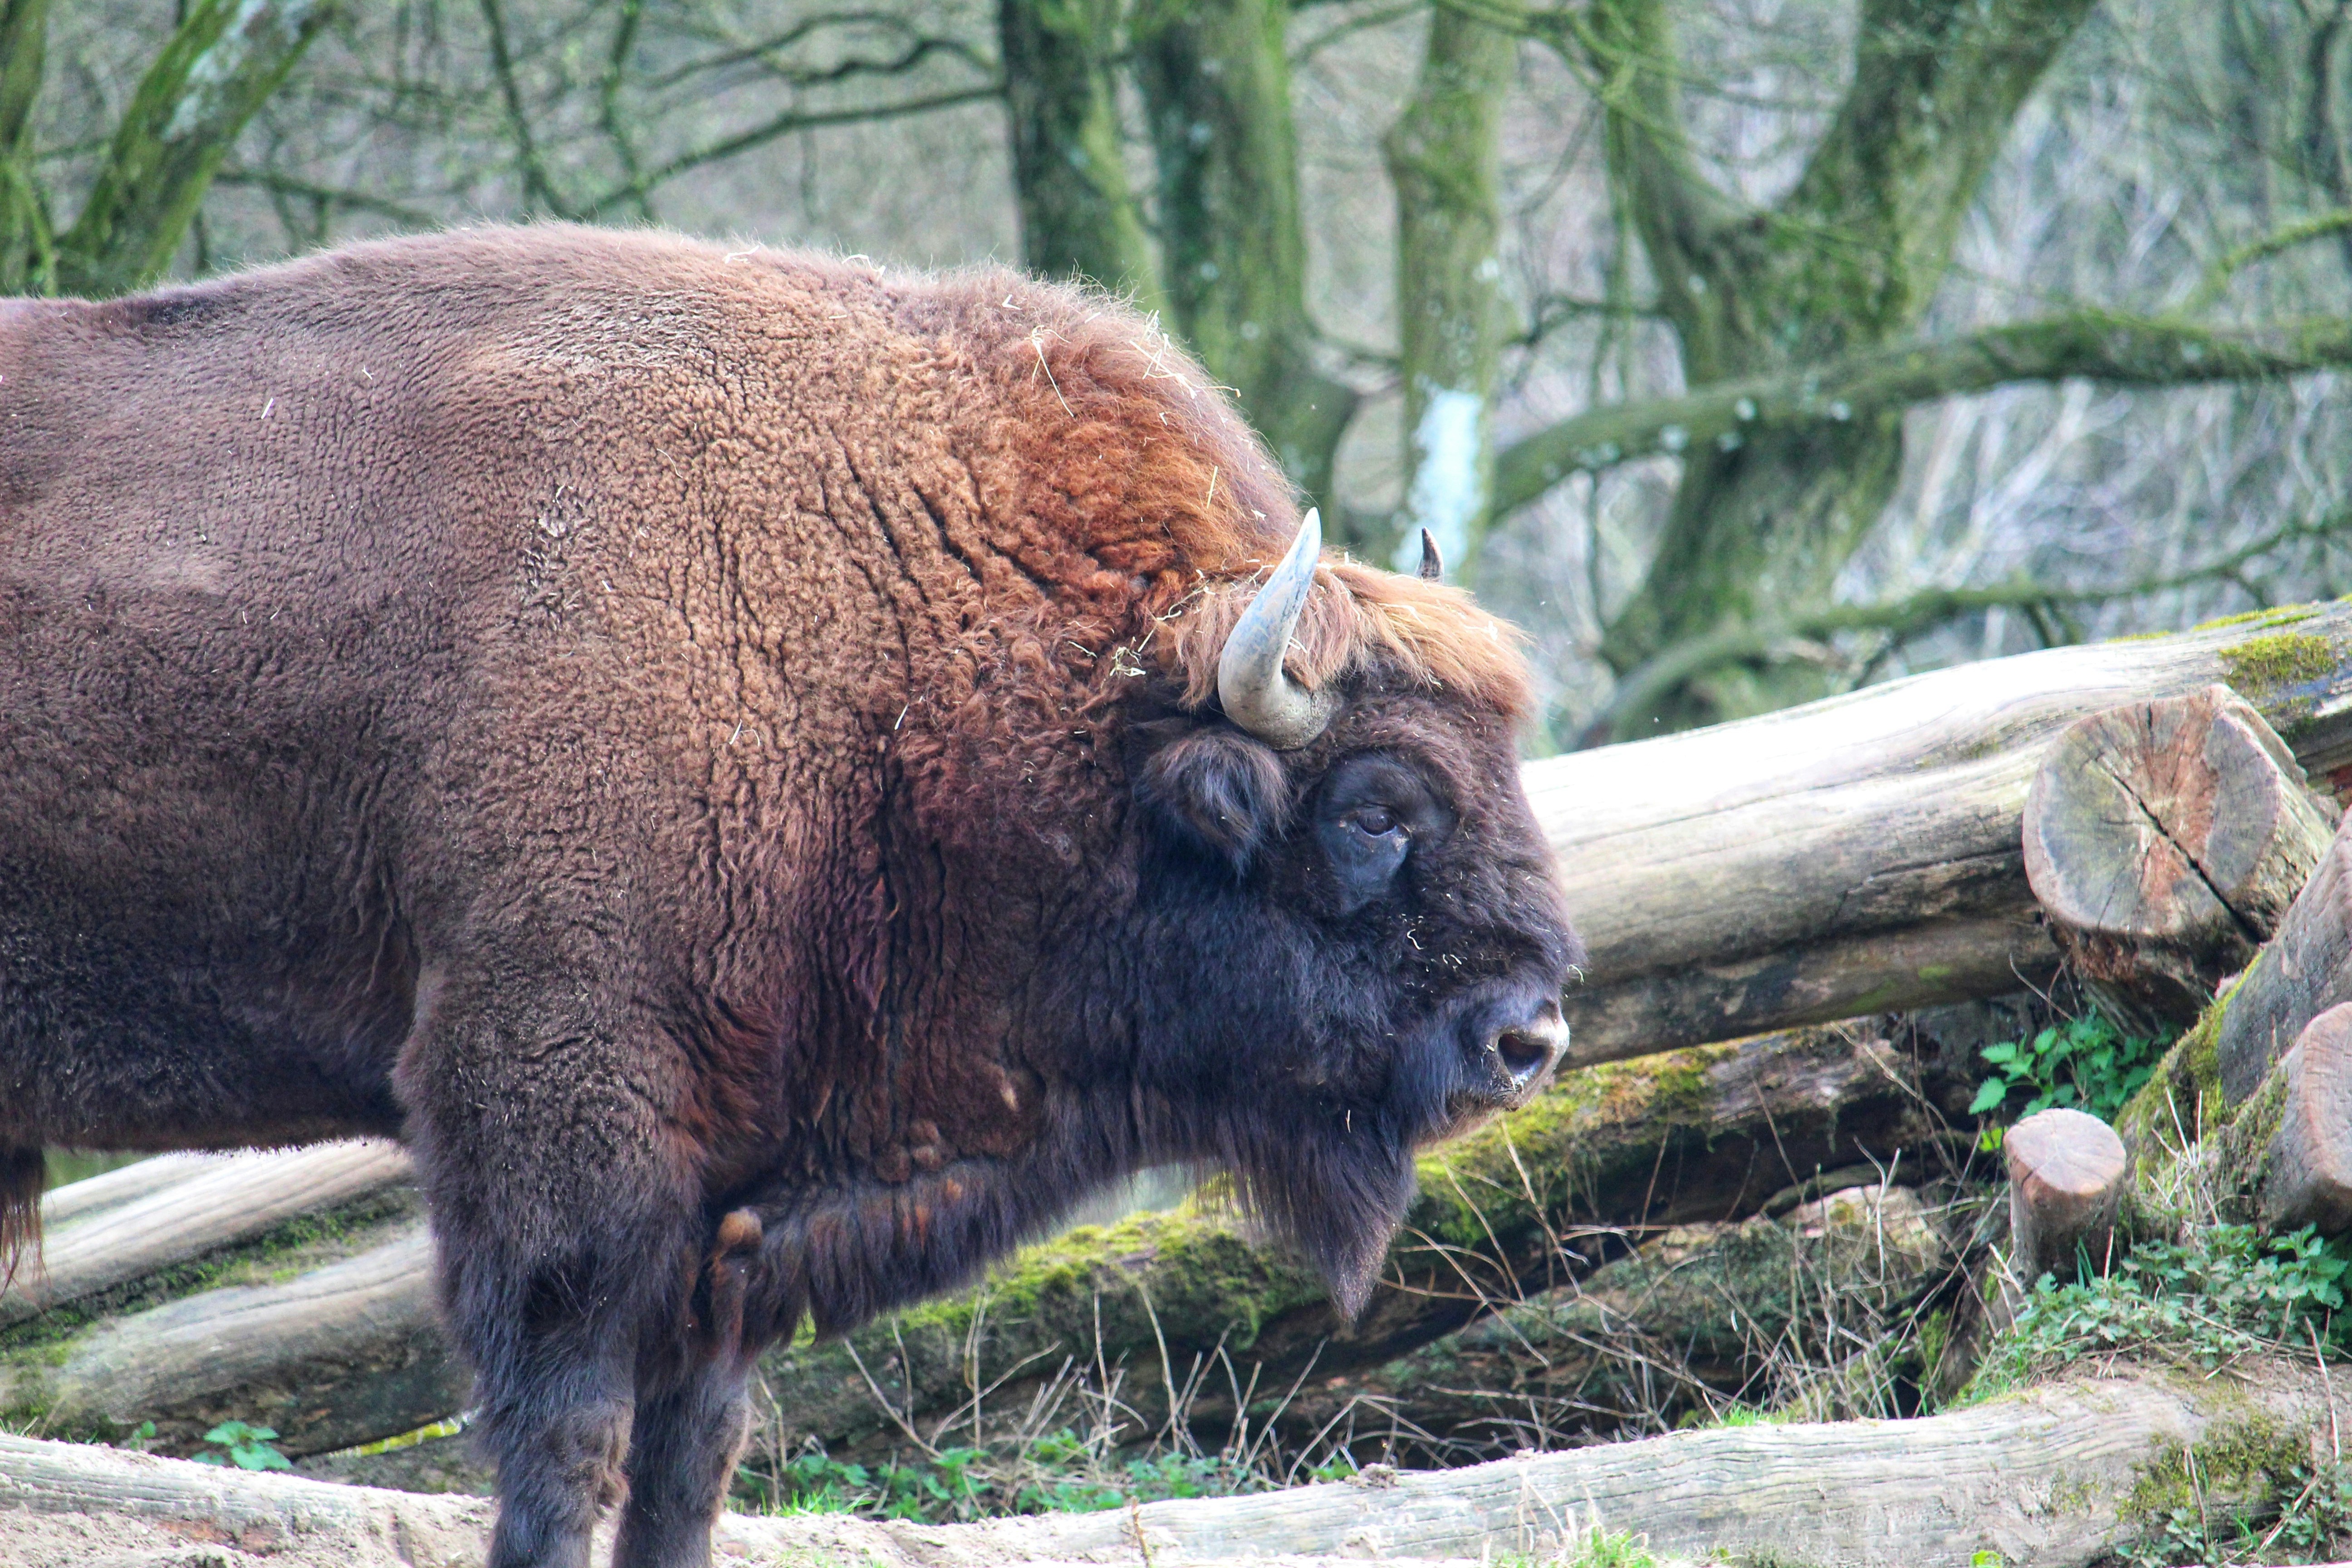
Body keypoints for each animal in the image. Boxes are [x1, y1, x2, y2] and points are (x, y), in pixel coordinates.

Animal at [0, 226, 1578, 1568]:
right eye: (1375, 809)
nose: (1530, 1039)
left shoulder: (731, 1212)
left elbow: (690, 1464)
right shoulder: (559, 1135)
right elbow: (565, 1444)